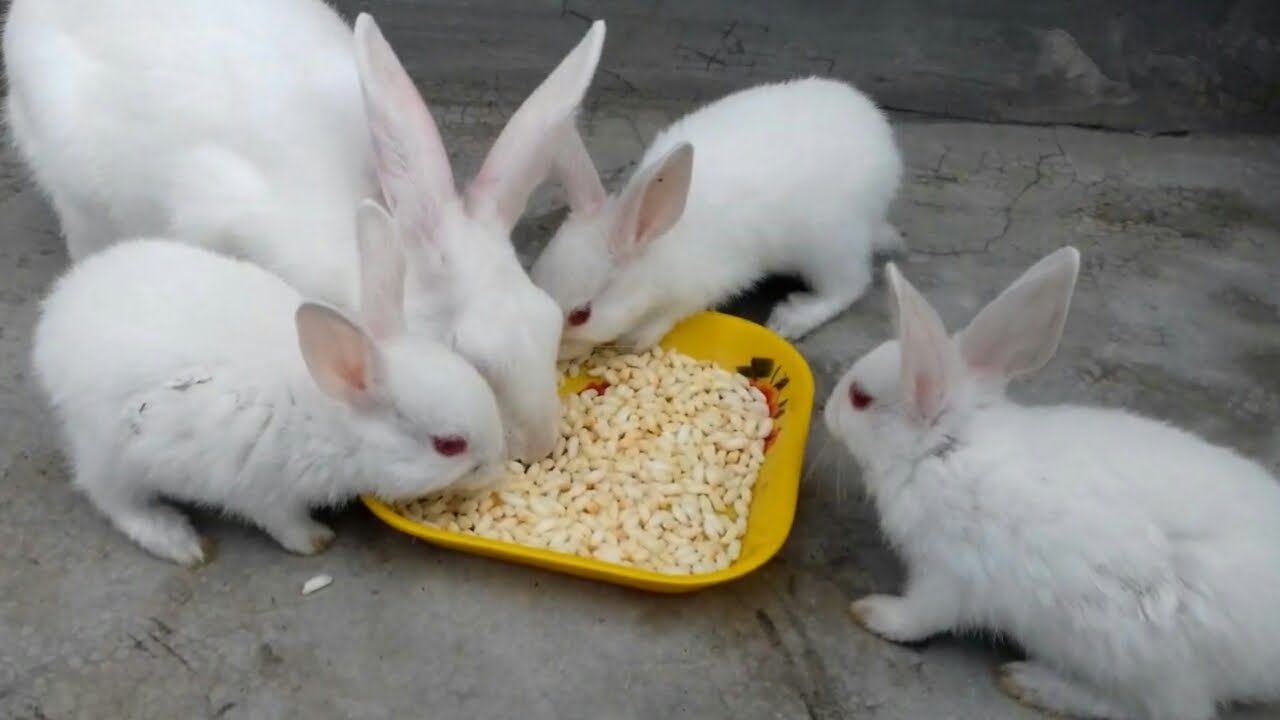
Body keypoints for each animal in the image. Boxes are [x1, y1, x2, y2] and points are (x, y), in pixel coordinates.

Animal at [31, 199, 506, 567]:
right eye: (448, 446)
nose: (496, 468)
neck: (330, 419)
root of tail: (56, 317)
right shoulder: (264, 490)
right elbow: (282, 523)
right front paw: (316, 541)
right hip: (111, 450)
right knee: (109, 497)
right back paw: (178, 542)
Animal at [529, 76, 905, 360]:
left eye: (581, 315)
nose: (554, 358)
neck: (660, 245)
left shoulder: (709, 281)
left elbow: (673, 312)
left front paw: (635, 340)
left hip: (829, 243)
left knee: (850, 285)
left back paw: (793, 317)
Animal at [823, 246, 1280, 720]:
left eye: (859, 398)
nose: (826, 411)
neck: (944, 449)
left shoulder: (947, 572)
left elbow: (921, 617)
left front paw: (873, 613)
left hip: (1135, 655)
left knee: (1162, 708)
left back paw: (1031, 682)